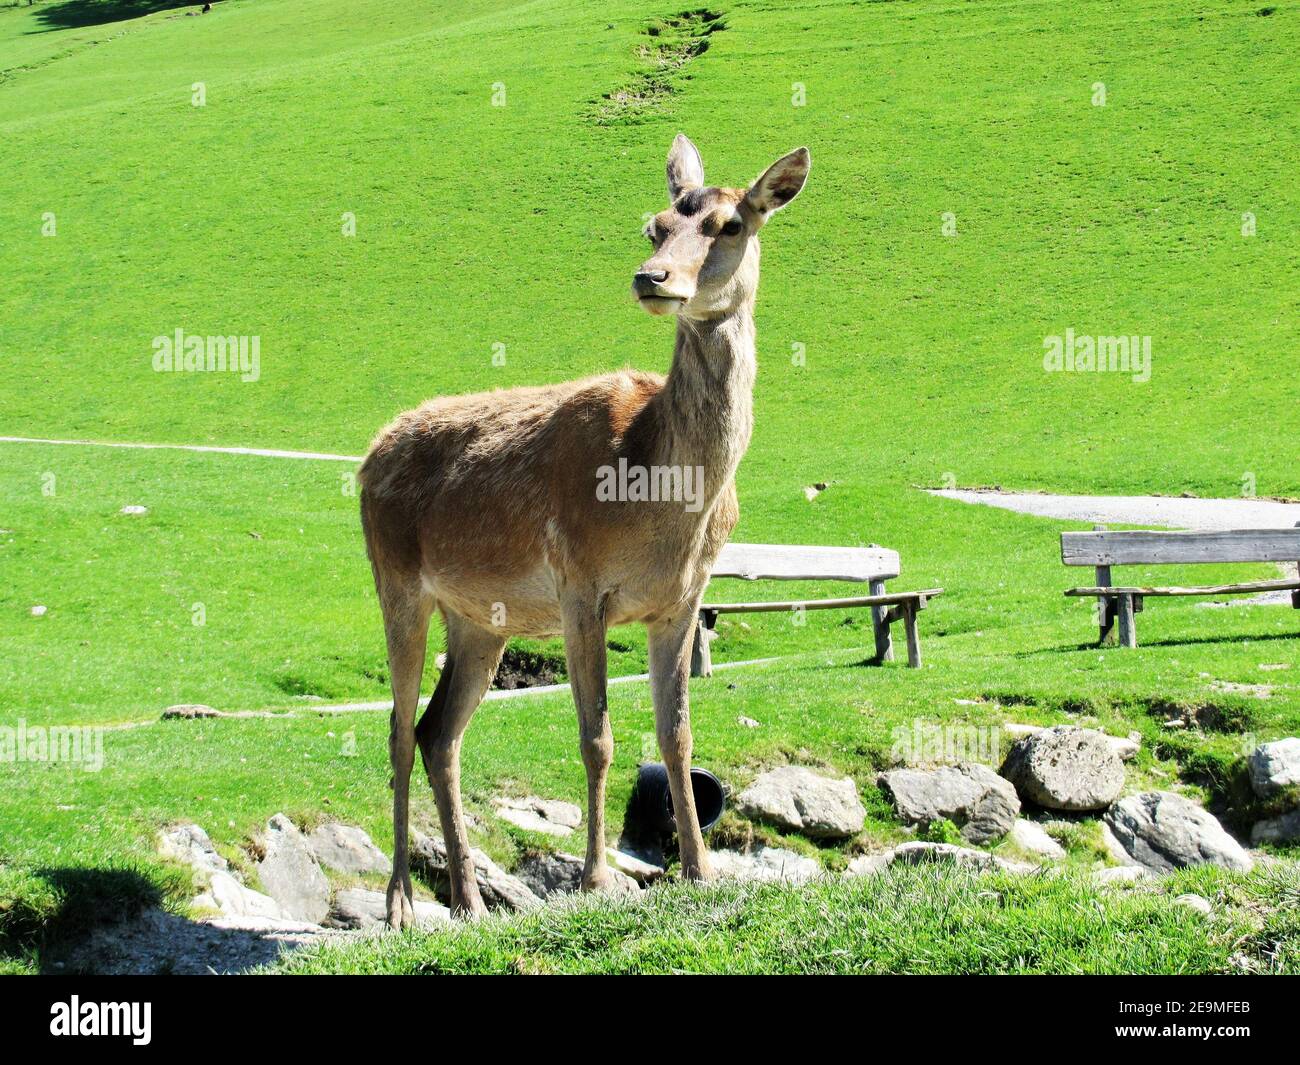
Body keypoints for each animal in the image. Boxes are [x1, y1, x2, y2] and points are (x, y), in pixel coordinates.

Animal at [359, 135, 810, 926]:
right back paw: (401, 906)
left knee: (437, 733)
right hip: (397, 583)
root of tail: (364, 459)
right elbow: (596, 737)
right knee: (397, 730)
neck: (660, 496)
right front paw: (597, 877)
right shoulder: (579, 584)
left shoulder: (681, 601)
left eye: (731, 224)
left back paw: (470, 902)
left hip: (480, 620)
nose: (652, 278)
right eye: (655, 226)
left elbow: (677, 732)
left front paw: (700, 869)